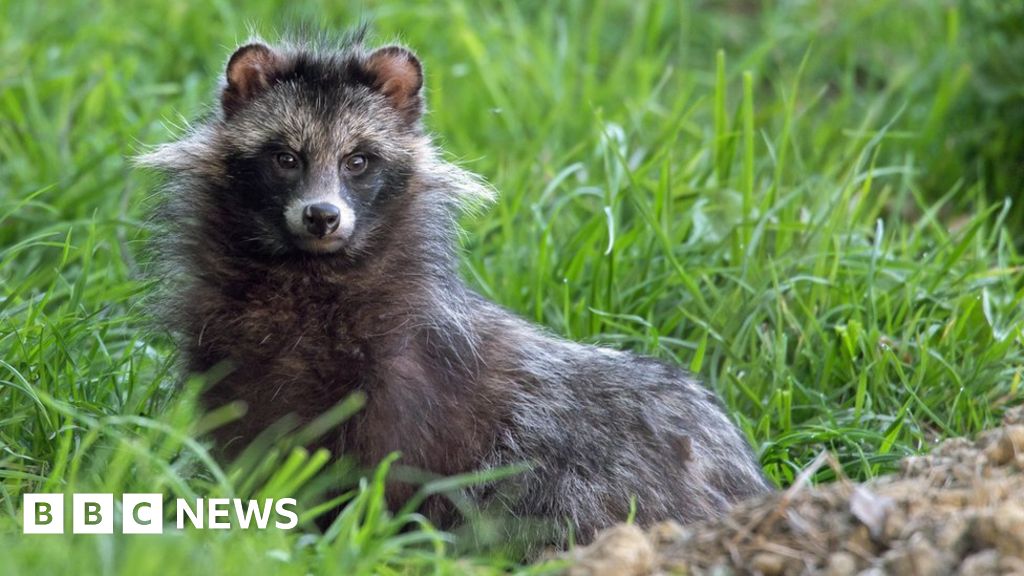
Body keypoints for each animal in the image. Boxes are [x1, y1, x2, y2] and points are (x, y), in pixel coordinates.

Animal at [140, 31, 771, 548]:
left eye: (358, 161)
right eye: (285, 158)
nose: (322, 216)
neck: (306, 274)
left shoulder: (407, 371)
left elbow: (388, 464)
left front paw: (350, 530)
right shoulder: (230, 352)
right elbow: (242, 436)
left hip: (596, 478)